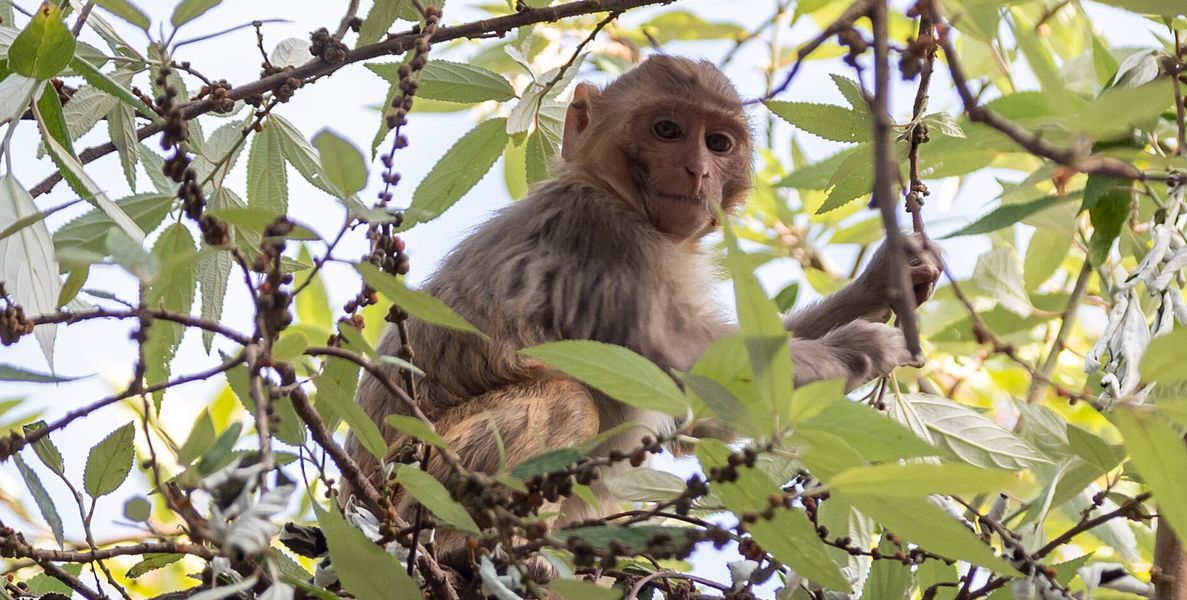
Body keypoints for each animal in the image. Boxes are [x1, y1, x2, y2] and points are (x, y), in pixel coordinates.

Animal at [344, 55, 941, 581]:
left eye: (718, 143)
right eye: (667, 130)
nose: (698, 169)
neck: (612, 192)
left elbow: (701, 411)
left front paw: (886, 279)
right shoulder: (608, 243)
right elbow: (693, 368)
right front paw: (861, 348)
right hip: (418, 476)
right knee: (567, 400)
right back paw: (460, 549)